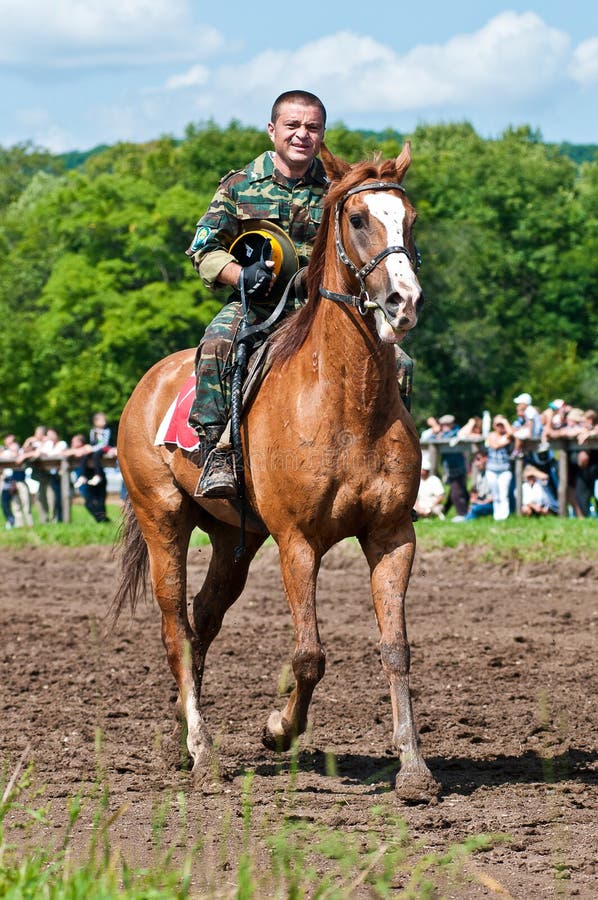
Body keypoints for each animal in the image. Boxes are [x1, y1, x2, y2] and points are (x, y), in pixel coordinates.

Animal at [114, 142, 440, 802]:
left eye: (411, 219)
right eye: (358, 218)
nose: (404, 302)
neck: (346, 402)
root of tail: (147, 385)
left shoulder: (392, 536)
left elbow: (396, 648)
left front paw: (414, 768)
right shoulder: (297, 542)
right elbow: (310, 654)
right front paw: (277, 729)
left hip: (233, 539)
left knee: (202, 621)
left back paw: (180, 739)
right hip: (164, 521)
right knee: (176, 628)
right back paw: (202, 751)